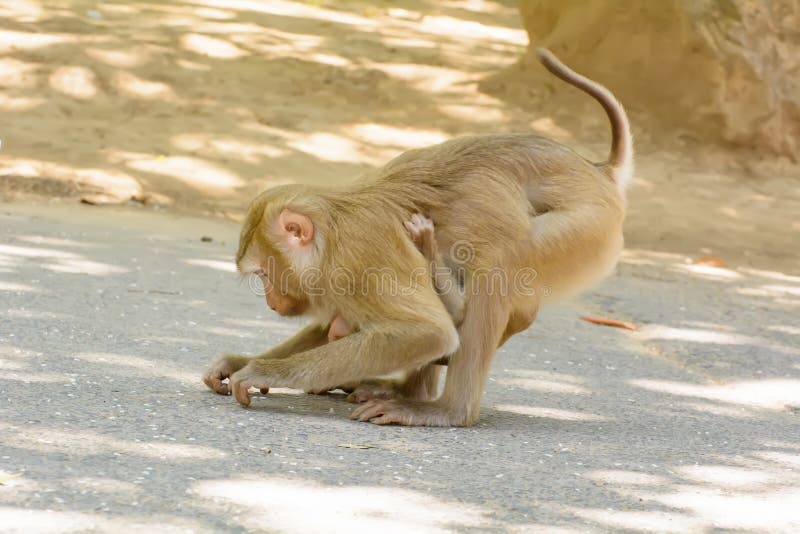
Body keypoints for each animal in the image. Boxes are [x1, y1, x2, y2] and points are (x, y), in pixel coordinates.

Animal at [203, 48, 633, 426]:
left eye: (262, 273)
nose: (272, 301)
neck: (331, 231)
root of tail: (597, 173)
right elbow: (340, 324)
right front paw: (238, 362)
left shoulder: (357, 259)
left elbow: (428, 331)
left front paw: (264, 370)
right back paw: (405, 390)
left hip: (585, 227)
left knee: (497, 266)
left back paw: (443, 410)